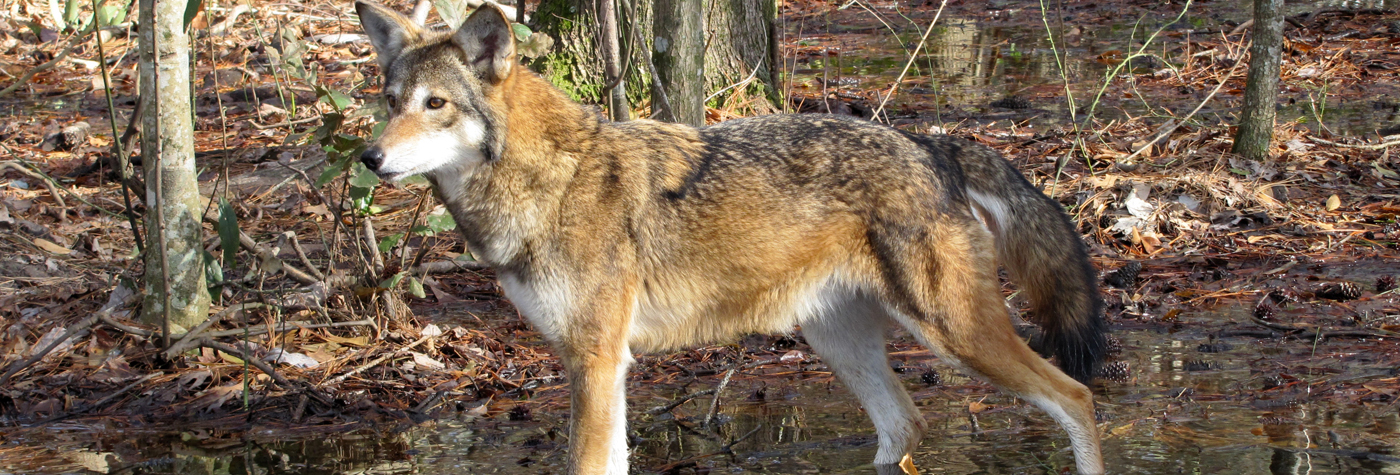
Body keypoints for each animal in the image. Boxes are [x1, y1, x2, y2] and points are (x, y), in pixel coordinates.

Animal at [354, 2, 1107, 473]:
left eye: (435, 105)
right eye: (390, 102)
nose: (369, 157)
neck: (553, 180)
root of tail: (933, 145)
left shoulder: (596, 361)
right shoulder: (600, 367)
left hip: (957, 335)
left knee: (1077, 397)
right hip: (840, 343)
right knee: (904, 426)